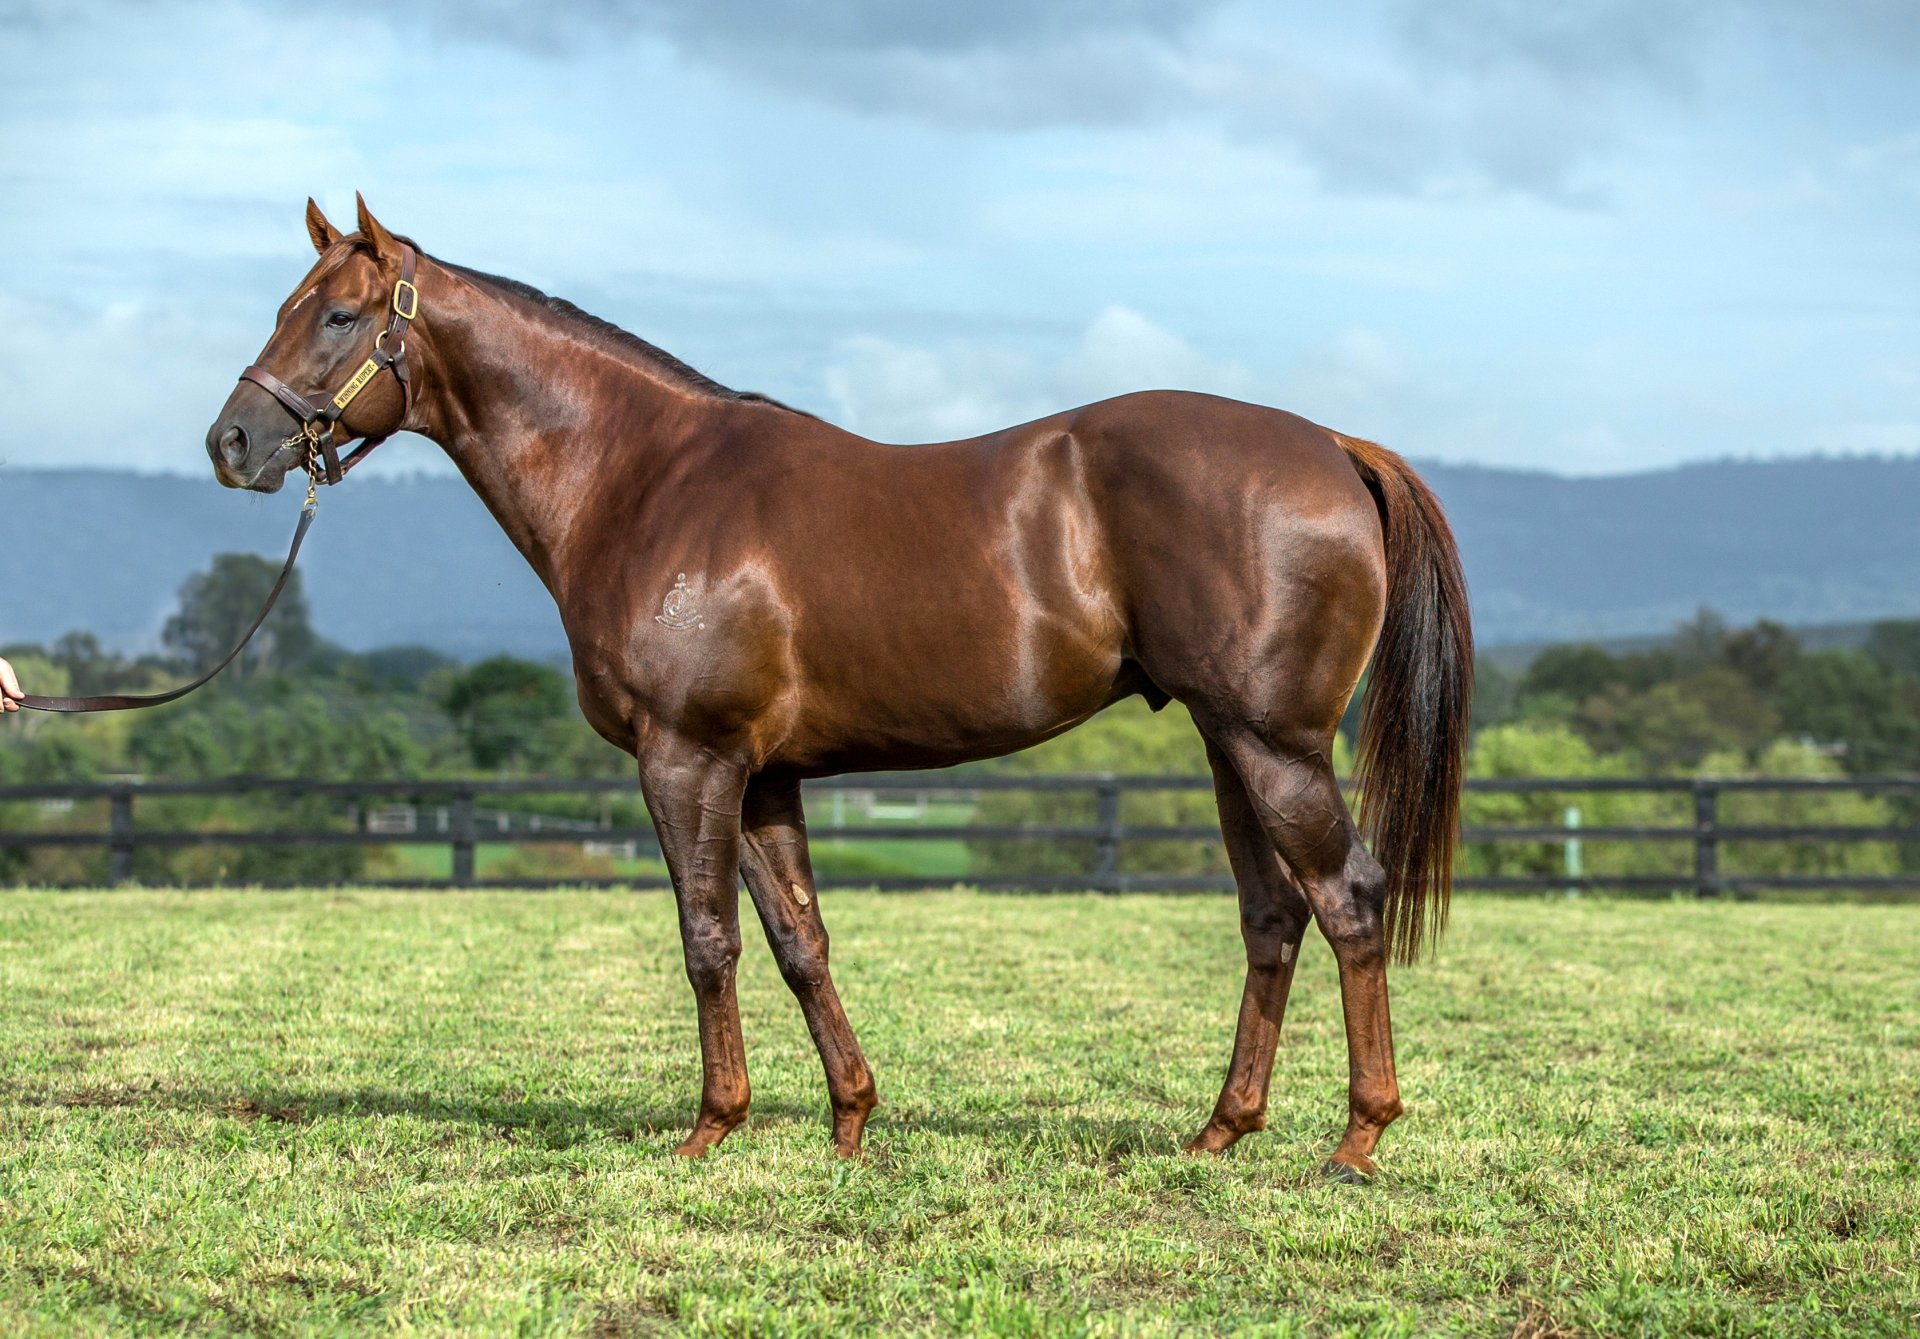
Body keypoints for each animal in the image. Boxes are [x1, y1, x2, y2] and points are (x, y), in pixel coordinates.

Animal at [204, 196, 1471, 1180]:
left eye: (336, 313)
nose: (232, 443)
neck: (644, 480)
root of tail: (1335, 447)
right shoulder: (768, 776)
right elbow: (799, 940)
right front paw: (850, 1123)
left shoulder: (689, 757)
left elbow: (707, 936)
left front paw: (711, 1128)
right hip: (1227, 744)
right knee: (1272, 915)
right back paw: (1221, 1130)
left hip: (1274, 744)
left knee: (1348, 902)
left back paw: (1356, 1140)